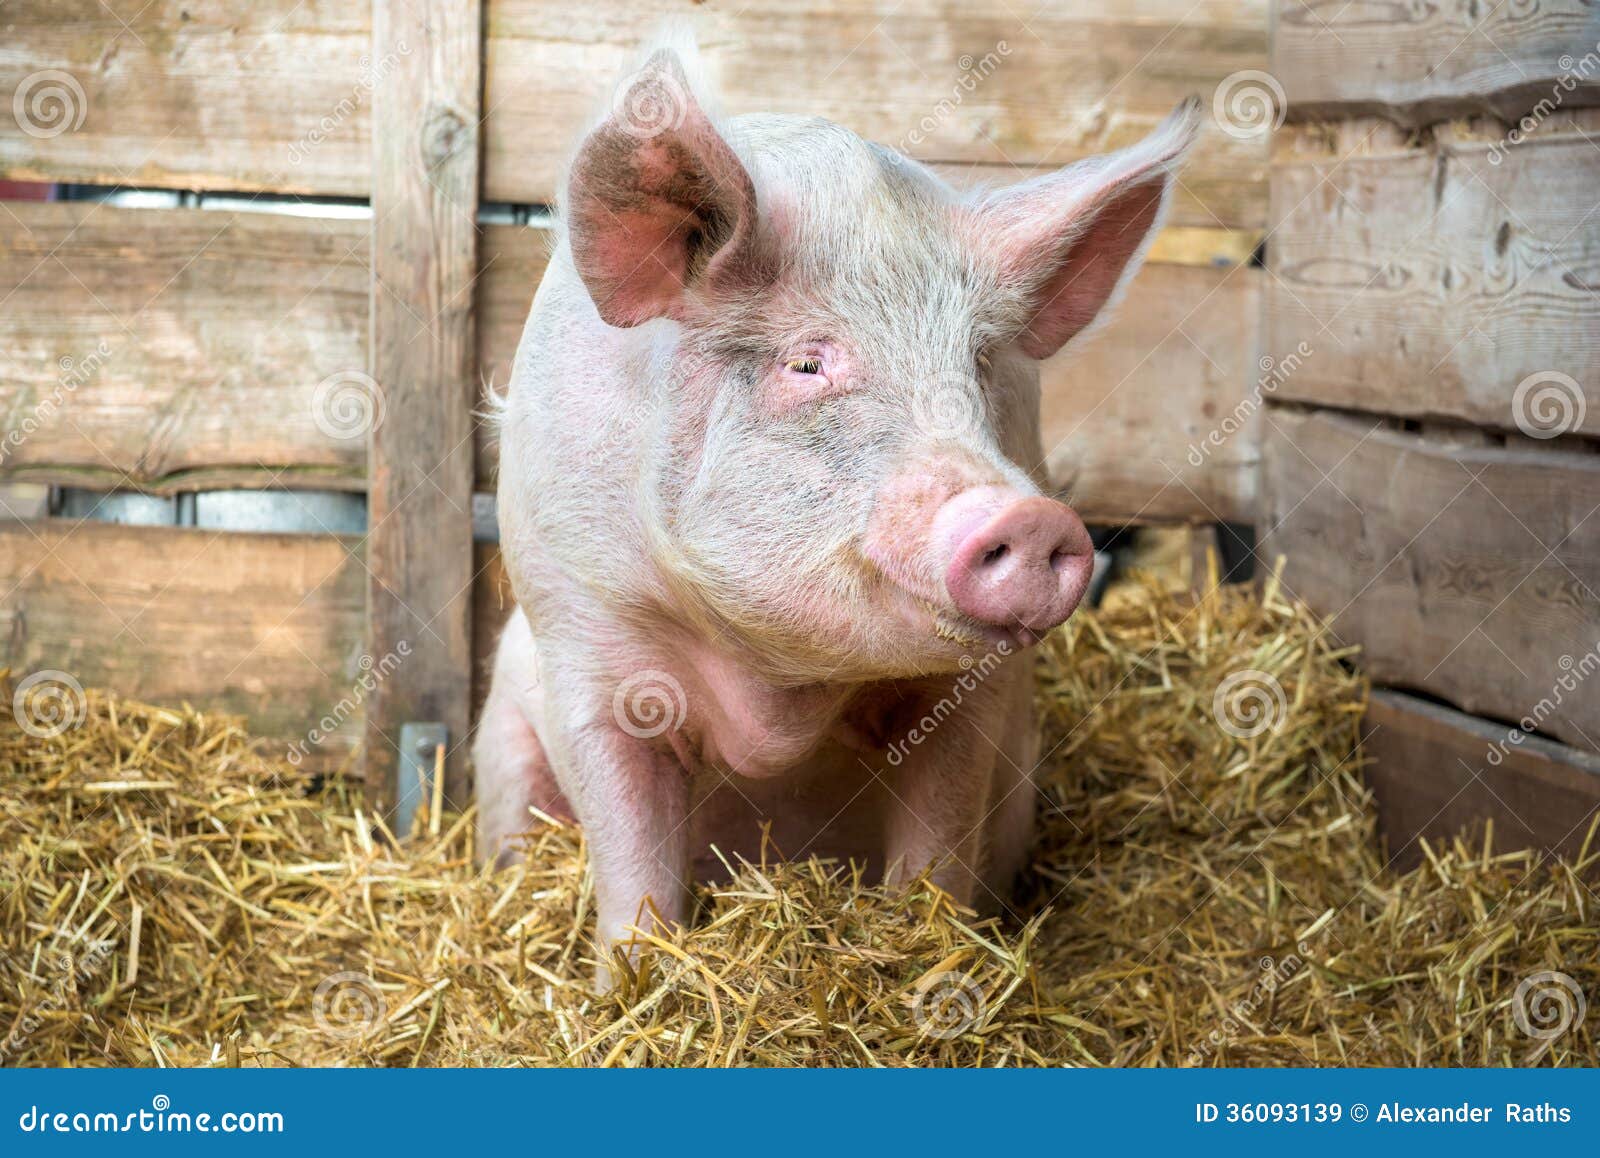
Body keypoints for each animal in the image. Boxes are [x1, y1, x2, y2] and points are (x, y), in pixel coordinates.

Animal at [475, 37, 1198, 984]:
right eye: (808, 364)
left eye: (978, 363)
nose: (1031, 520)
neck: (776, 693)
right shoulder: (583, 635)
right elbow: (632, 864)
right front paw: (629, 984)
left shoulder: (969, 699)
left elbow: (937, 859)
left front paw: (931, 966)